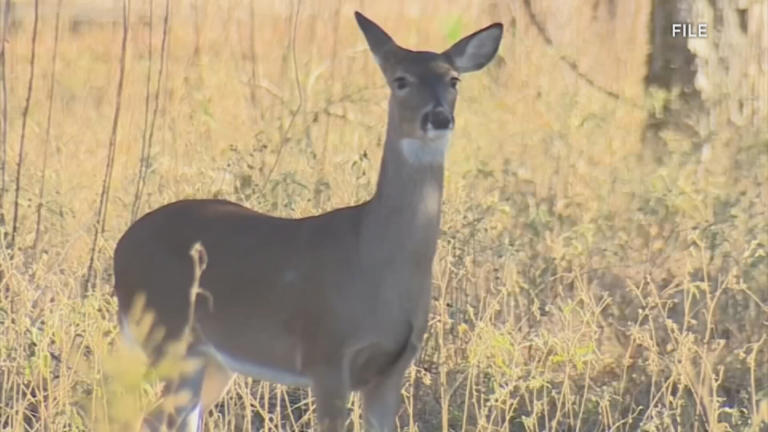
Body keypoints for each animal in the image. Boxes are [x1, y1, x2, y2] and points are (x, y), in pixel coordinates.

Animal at [113, 11, 502, 432]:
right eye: (400, 80)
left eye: (453, 80)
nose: (439, 116)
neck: (374, 257)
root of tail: (122, 246)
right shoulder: (326, 354)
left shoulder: (393, 367)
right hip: (168, 335)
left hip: (210, 358)